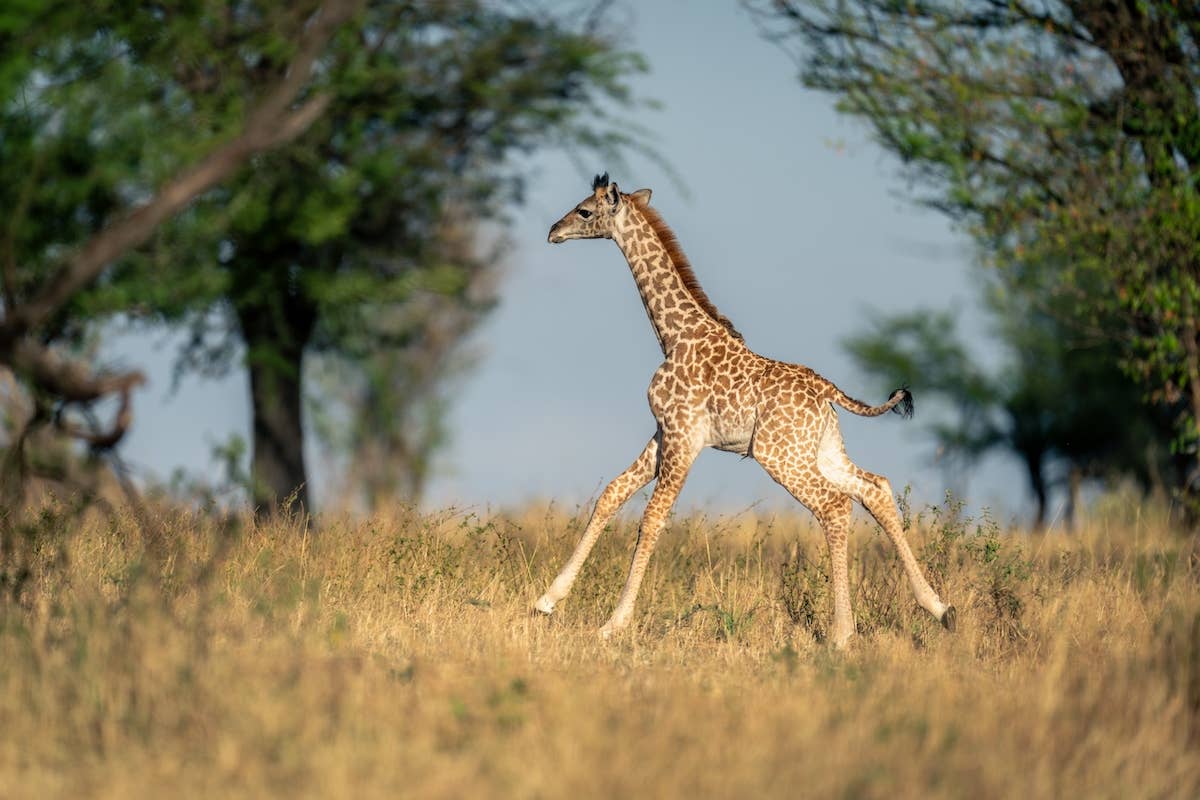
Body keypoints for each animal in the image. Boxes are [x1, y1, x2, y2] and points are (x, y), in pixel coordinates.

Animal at [534, 173, 955, 647]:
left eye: (585, 210)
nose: (553, 231)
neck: (675, 336)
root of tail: (827, 391)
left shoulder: (684, 436)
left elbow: (652, 518)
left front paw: (613, 623)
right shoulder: (664, 432)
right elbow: (611, 494)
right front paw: (546, 601)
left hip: (779, 456)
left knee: (835, 505)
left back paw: (842, 633)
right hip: (820, 450)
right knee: (875, 488)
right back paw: (941, 609)